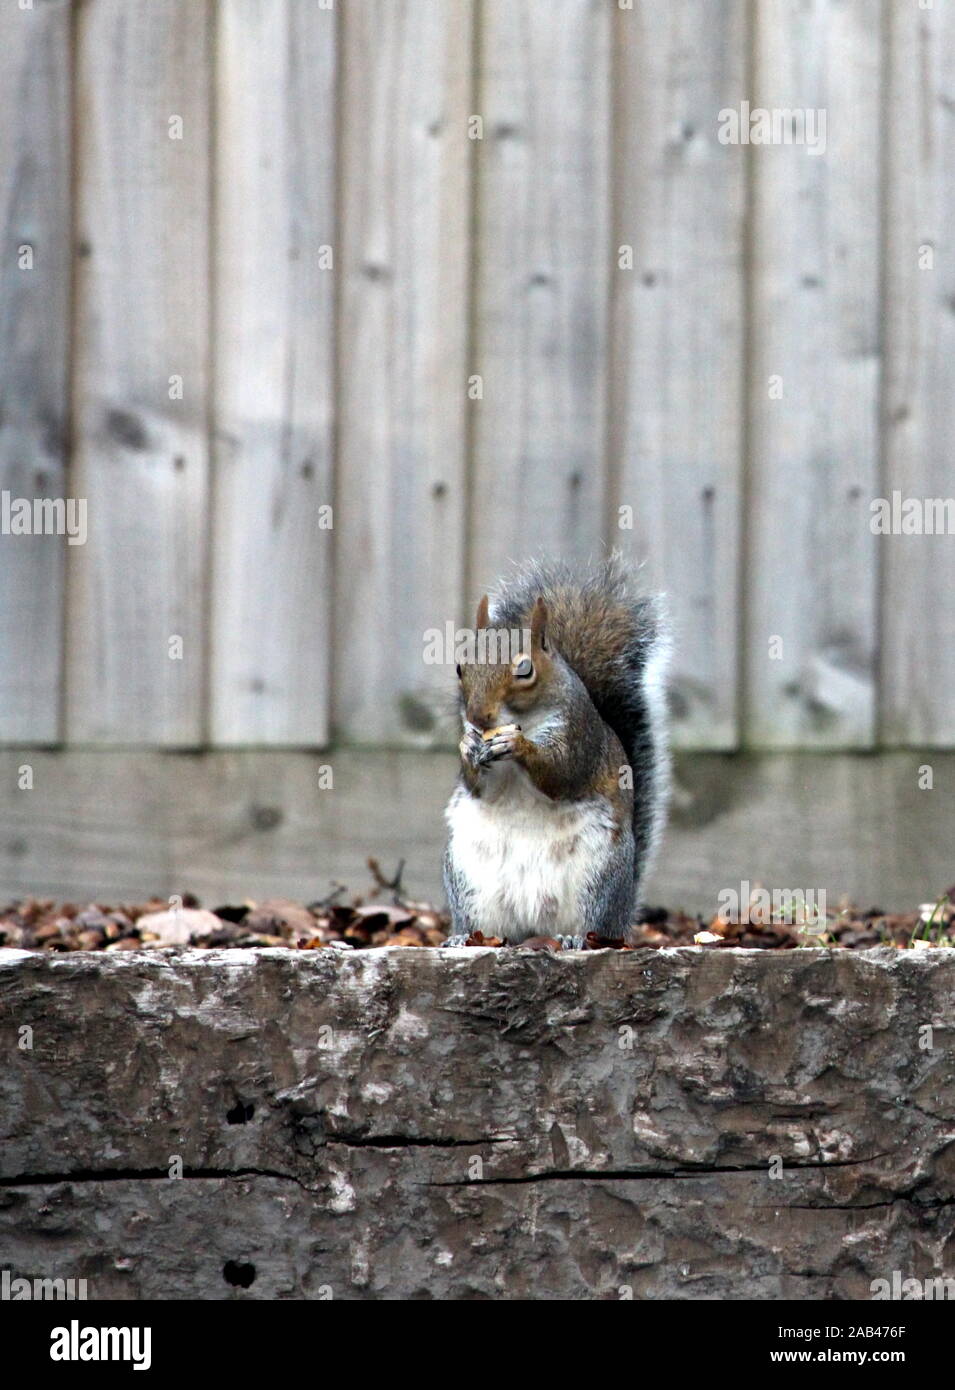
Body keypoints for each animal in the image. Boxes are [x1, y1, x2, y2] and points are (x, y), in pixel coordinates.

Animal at [443, 555, 670, 948]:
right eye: (460, 666)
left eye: (524, 669)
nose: (477, 716)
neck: (523, 719)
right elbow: (480, 787)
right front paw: (468, 745)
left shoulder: (579, 735)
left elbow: (561, 773)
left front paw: (517, 745)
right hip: (467, 877)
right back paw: (464, 939)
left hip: (599, 879)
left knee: (594, 927)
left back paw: (576, 939)